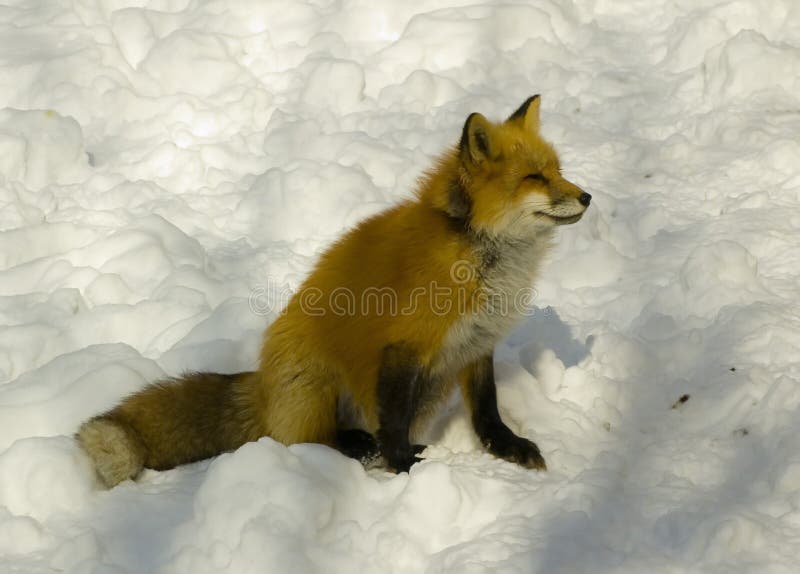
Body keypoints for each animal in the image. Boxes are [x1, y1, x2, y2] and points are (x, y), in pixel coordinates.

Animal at [77, 95, 591, 487]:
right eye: (534, 178)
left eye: (558, 170)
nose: (587, 197)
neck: (479, 252)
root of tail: (262, 385)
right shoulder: (405, 345)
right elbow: (394, 423)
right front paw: (403, 464)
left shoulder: (477, 340)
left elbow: (487, 411)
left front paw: (507, 449)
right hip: (319, 384)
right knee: (309, 439)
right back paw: (354, 445)